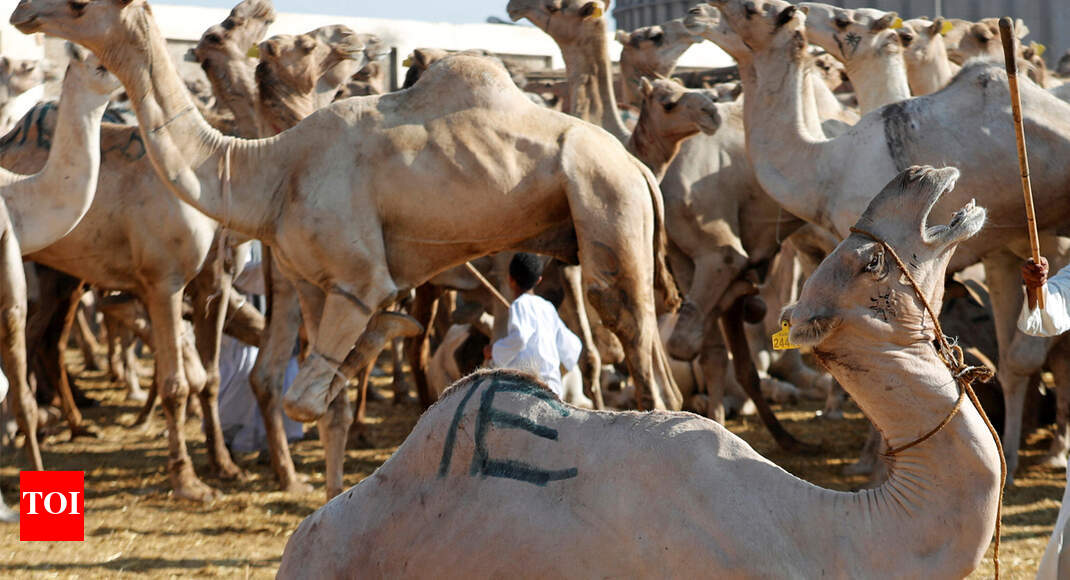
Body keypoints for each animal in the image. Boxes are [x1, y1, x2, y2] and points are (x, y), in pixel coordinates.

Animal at [10, 0, 680, 484]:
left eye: (78, 4)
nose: (22, 13)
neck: (270, 169)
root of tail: (637, 166)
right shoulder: (311, 281)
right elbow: (315, 401)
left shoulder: (359, 278)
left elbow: (311, 391)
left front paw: (388, 336)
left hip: (606, 203)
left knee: (634, 336)